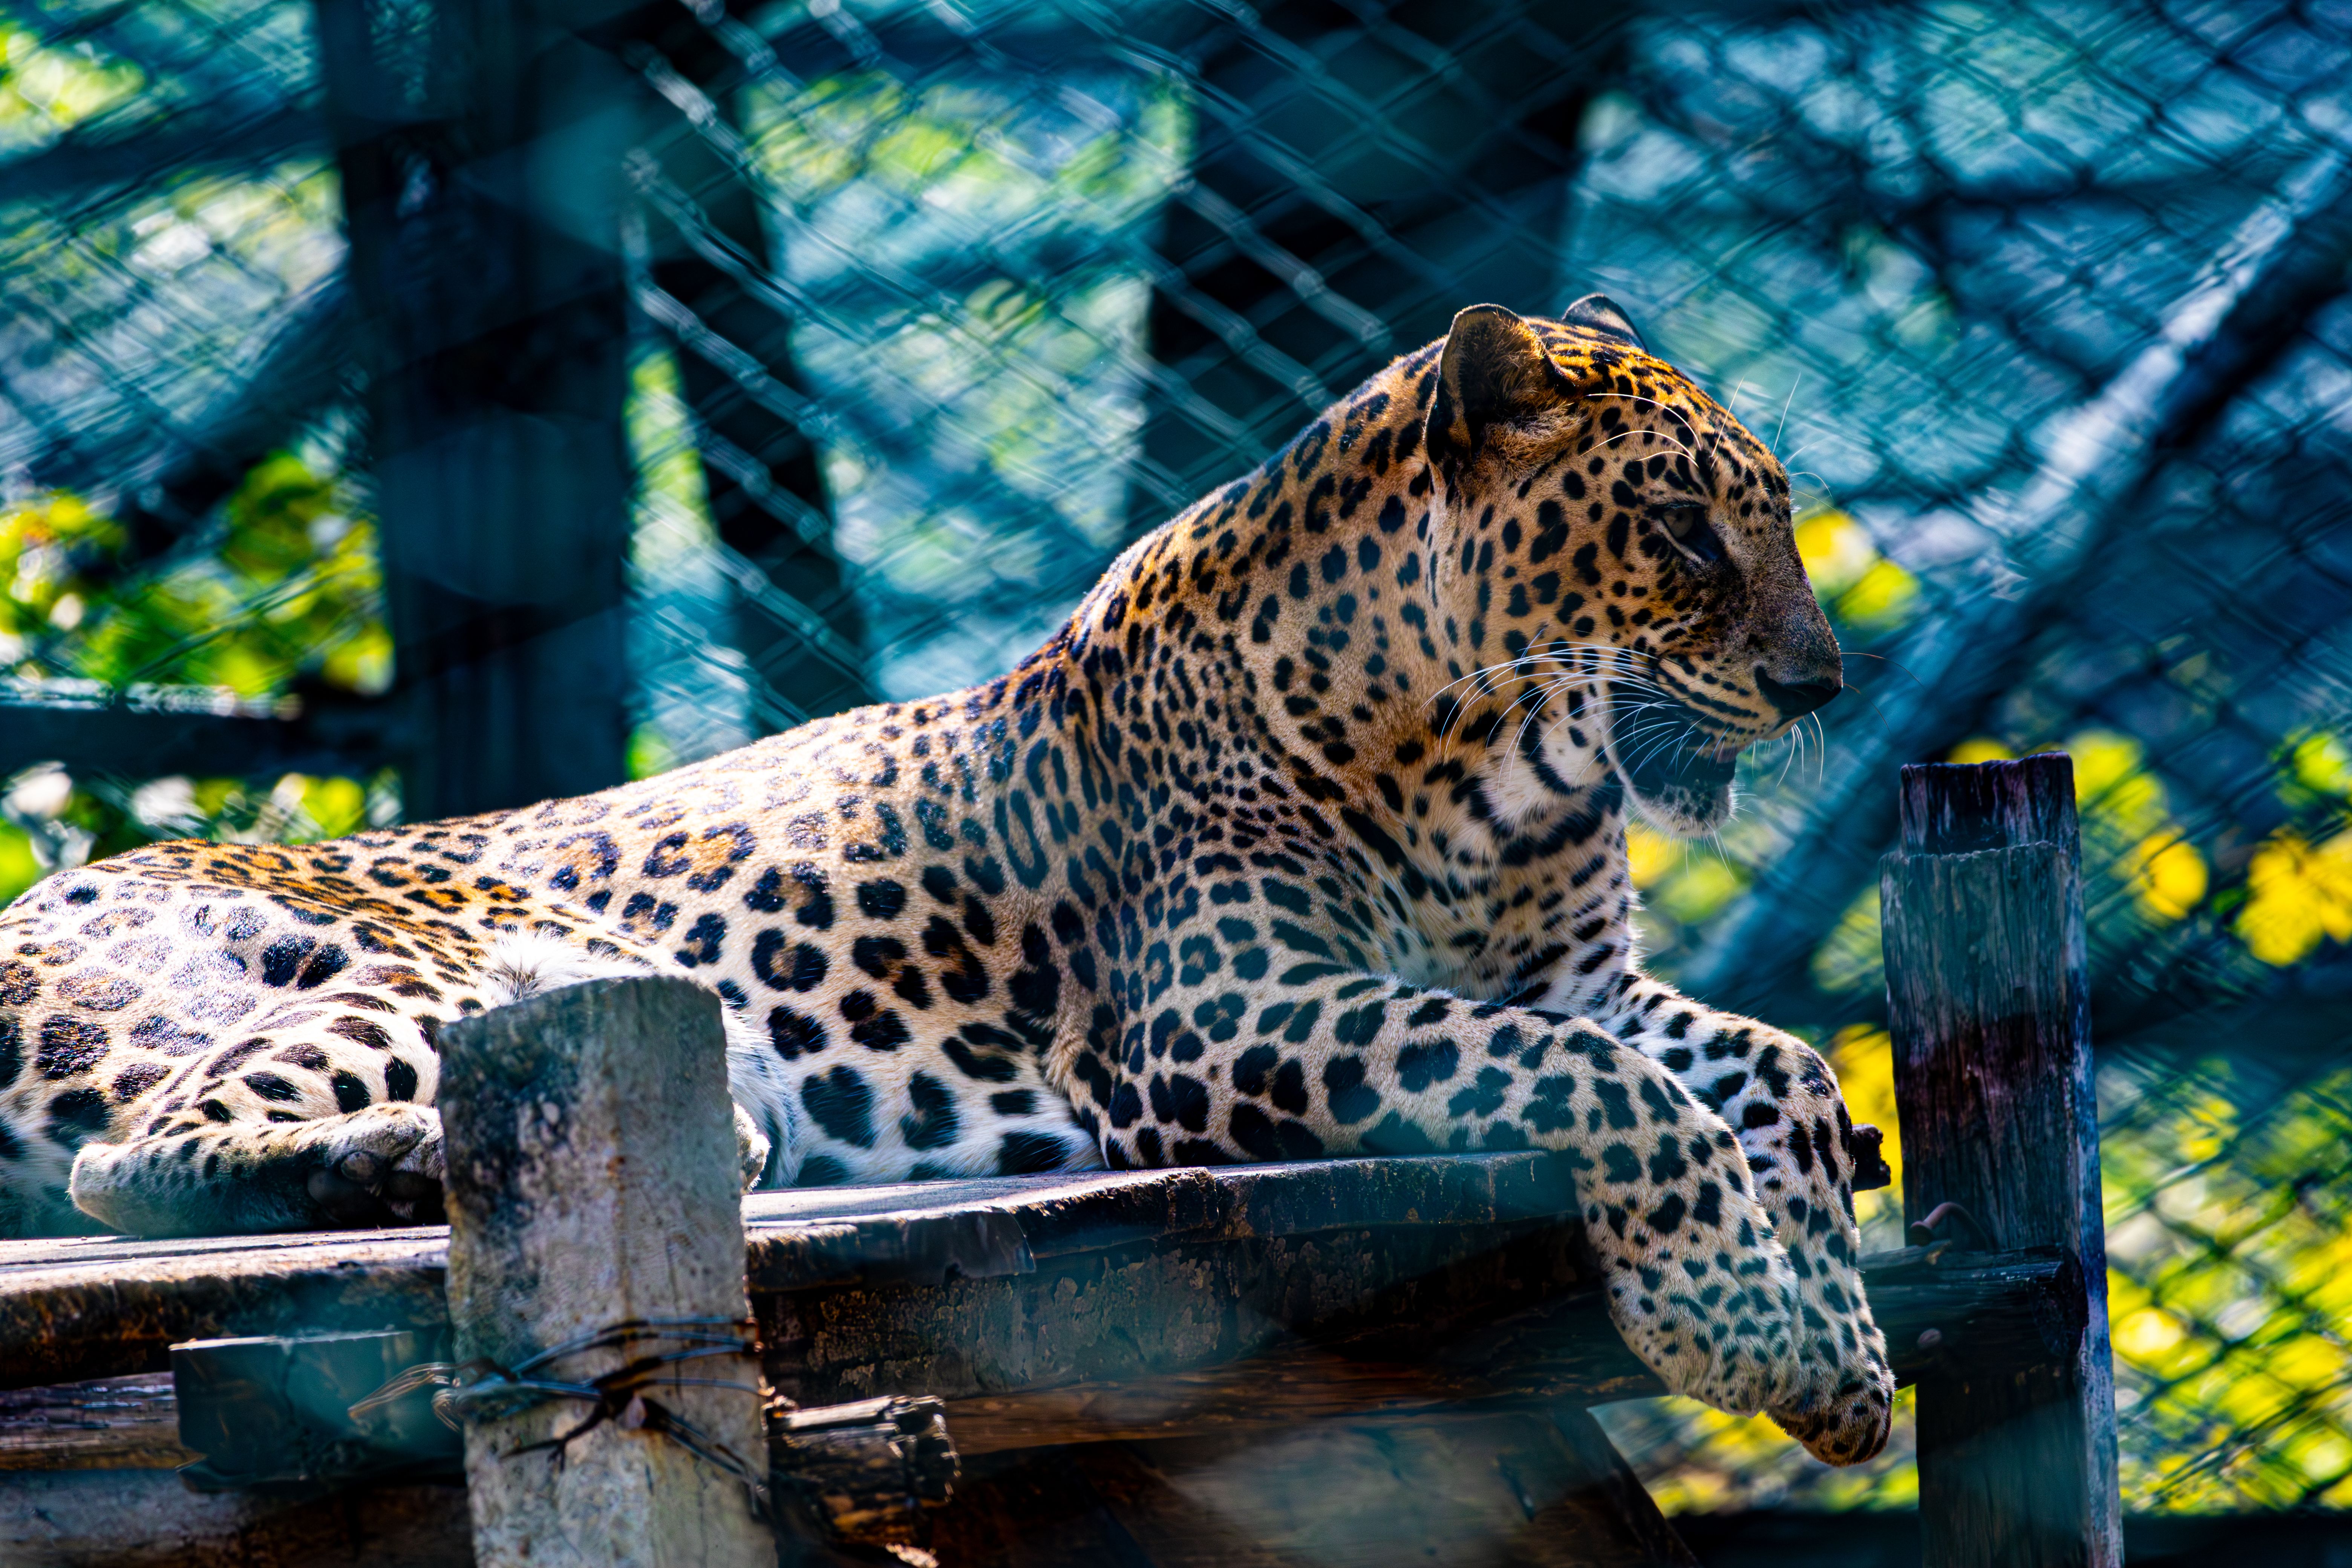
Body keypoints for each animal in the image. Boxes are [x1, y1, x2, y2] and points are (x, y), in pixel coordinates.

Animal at [0, 299, 1893, 1464]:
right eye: (1681, 531)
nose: (1821, 684)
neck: (1498, 767)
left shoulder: (1579, 976)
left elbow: (1777, 1073)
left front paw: (1840, 1349)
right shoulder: (1226, 1014)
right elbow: (1604, 1087)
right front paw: (1739, 1330)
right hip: (469, 966)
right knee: (134, 1152)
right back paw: (400, 1157)